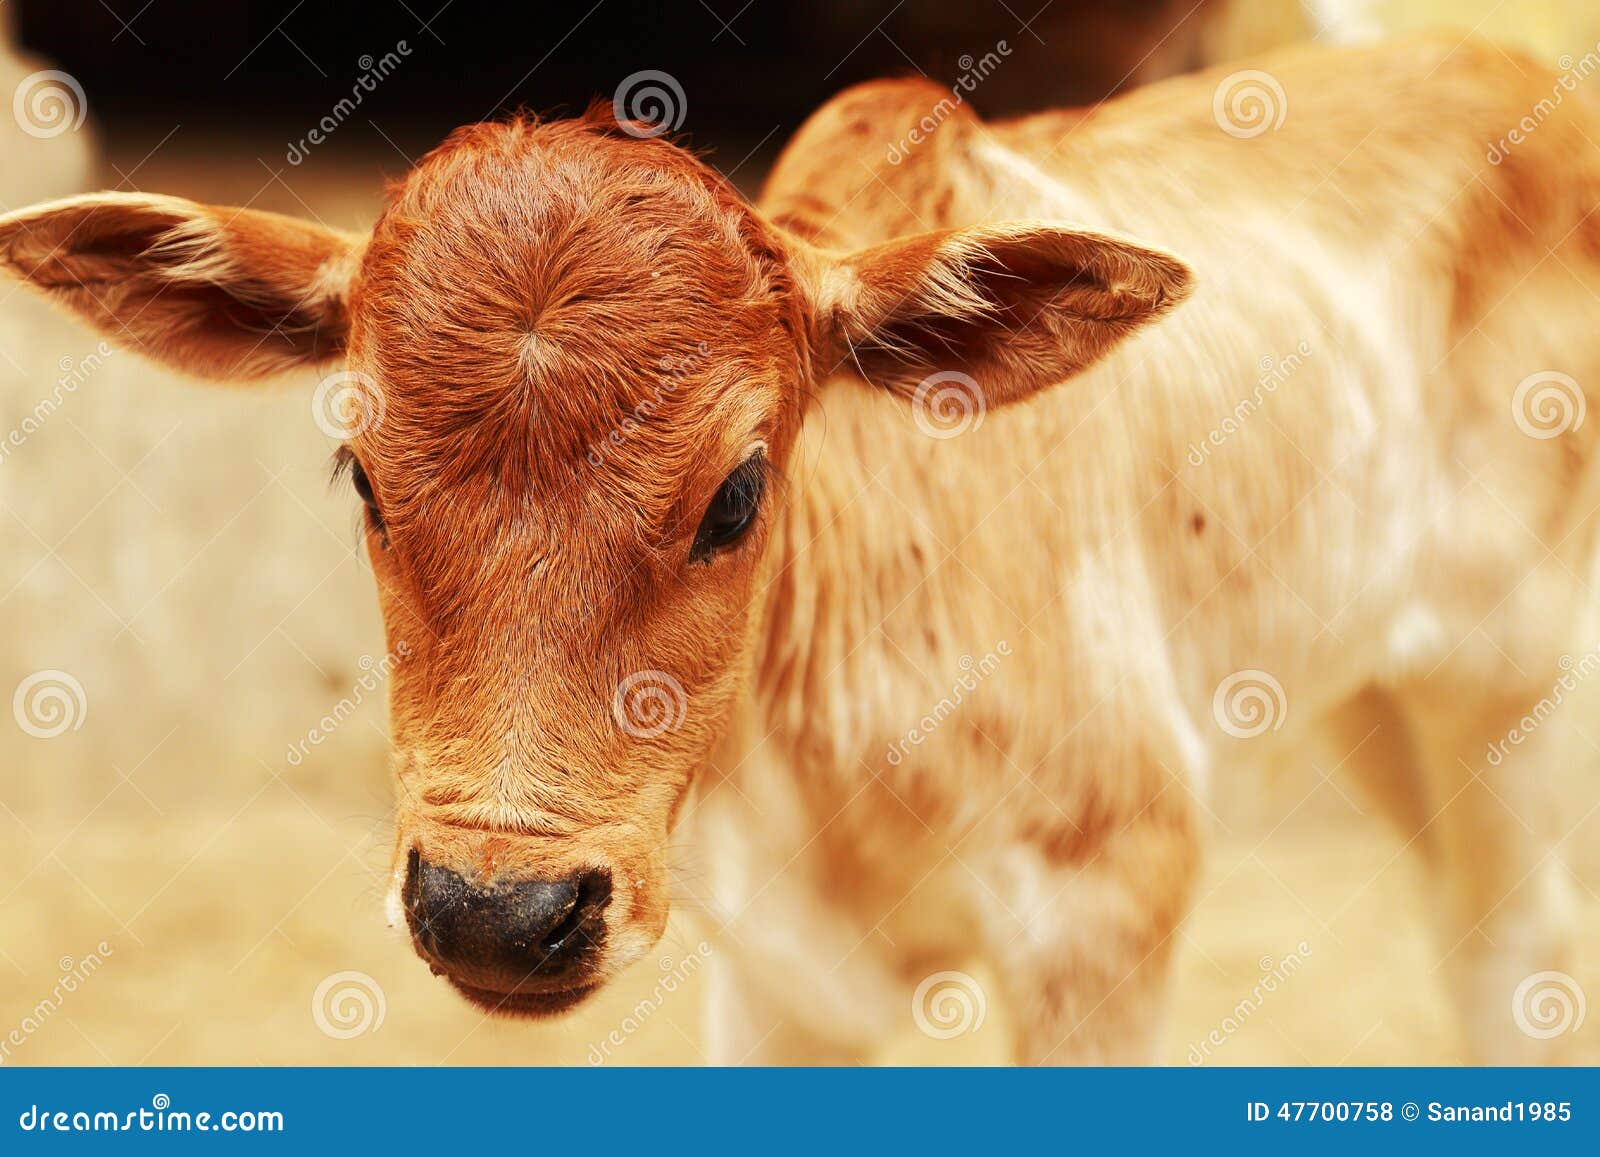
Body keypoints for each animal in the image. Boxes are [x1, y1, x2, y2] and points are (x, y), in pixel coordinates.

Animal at [1, 33, 1596, 1064]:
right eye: (361, 476)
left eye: (737, 494)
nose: (500, 914)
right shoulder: (774, 976)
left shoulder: (1107, 904)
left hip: (1512, 710)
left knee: (1512, 960)